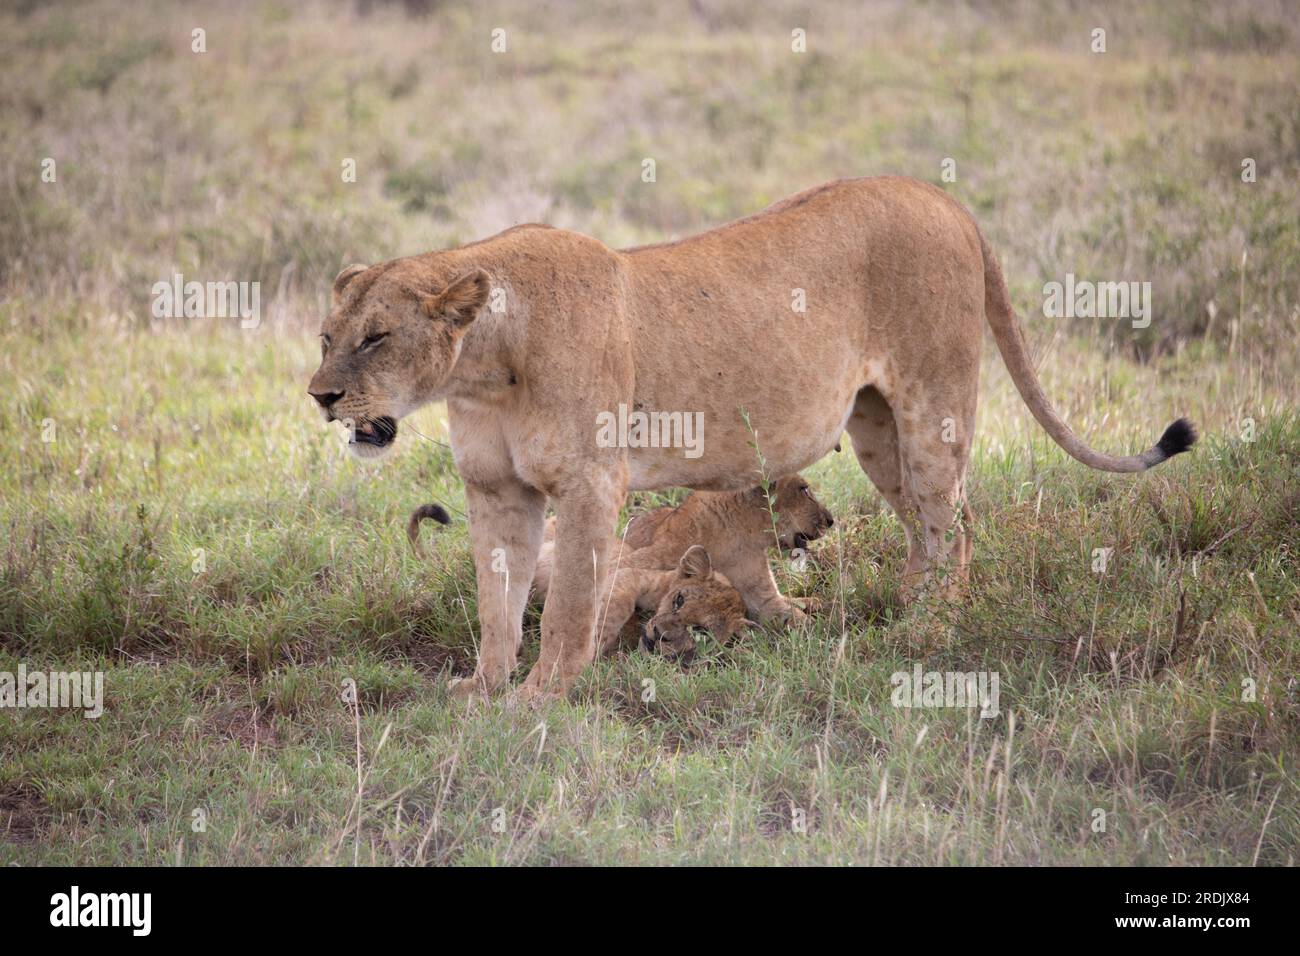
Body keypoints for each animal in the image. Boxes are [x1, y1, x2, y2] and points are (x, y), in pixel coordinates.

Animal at [310, 176, 1195, 701]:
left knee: (955, 521)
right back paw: (897, 610)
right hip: (876, 426)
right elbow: (499, 601)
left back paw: (930, 630)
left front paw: (543, 696)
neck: (483, 369)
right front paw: (483, 688)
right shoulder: (498, 493)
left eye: (378, 337)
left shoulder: (593, 485)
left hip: (933, 404)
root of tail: (939, 196)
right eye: (326, 337)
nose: (321, 396)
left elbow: (566, 606)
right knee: (927, 523)